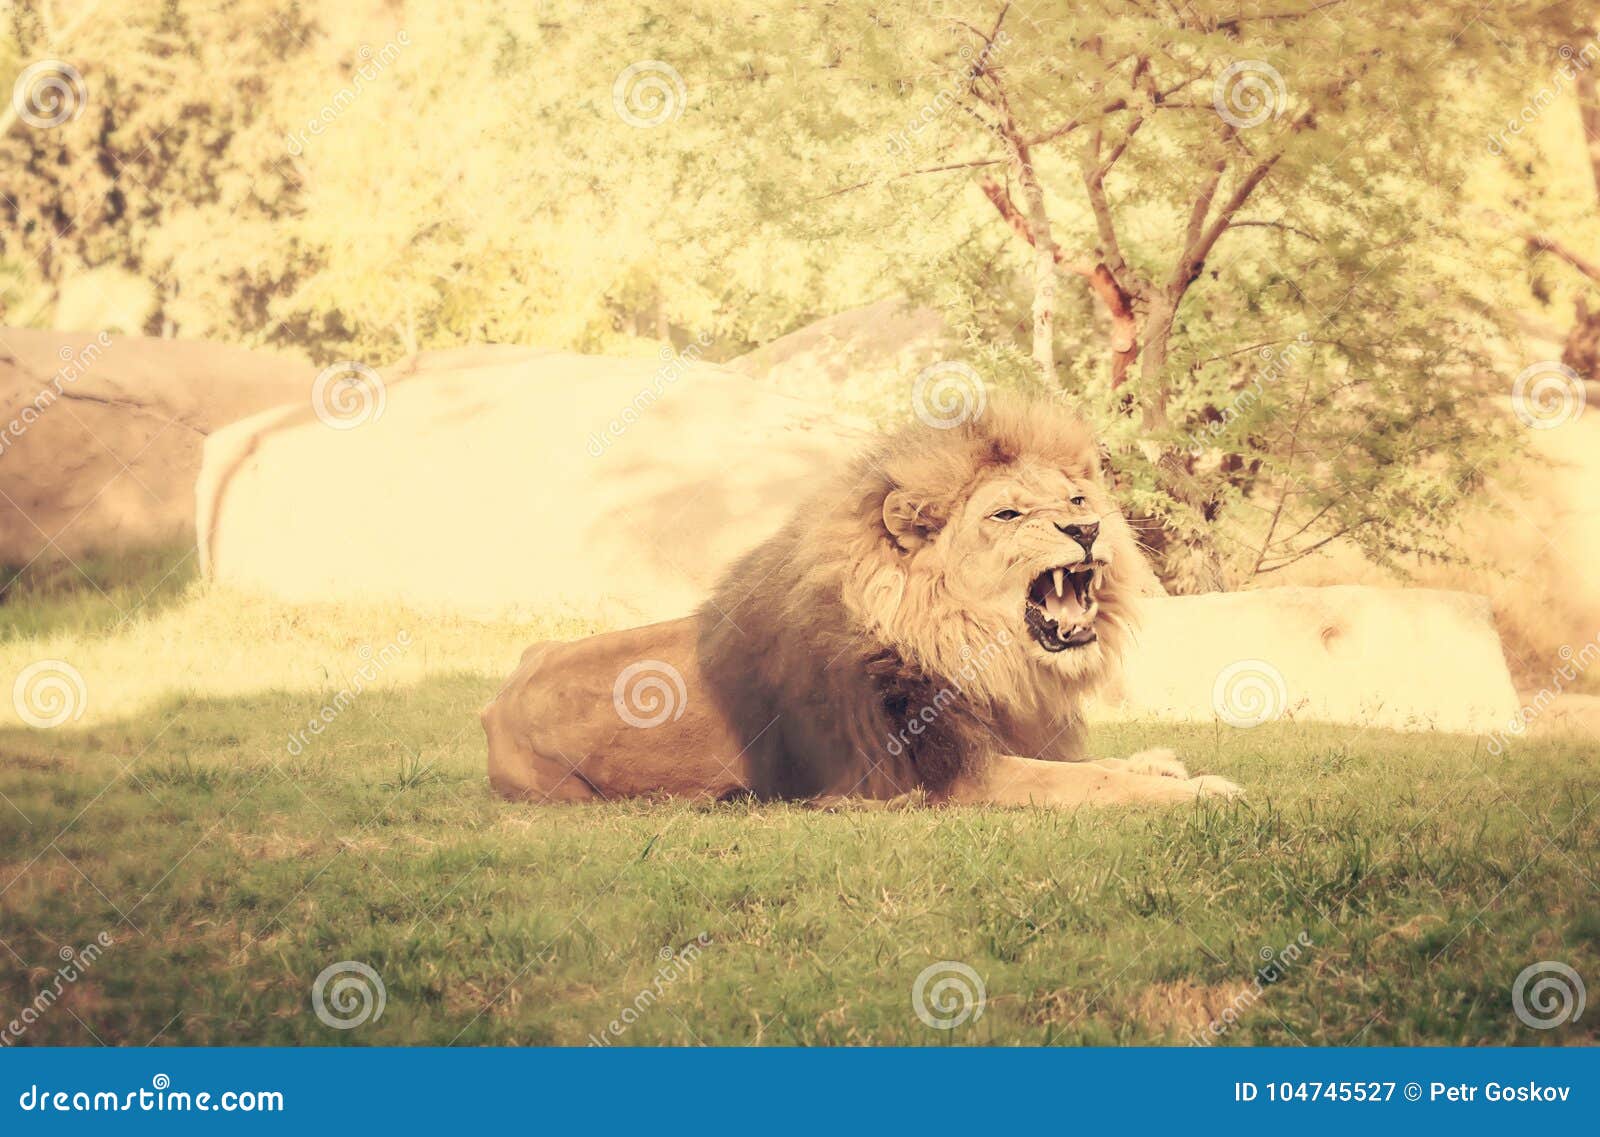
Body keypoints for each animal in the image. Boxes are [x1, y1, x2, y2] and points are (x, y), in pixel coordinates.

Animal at [482, 396, 1241, 807]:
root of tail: (499, 695)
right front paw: (1206, 790)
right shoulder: (957, 778)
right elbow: (1096, 786)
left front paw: (1161, 762)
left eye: (1078, 501)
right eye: (1007, 514)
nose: (1085, 531)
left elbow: (1097, 768)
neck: (975, 650)